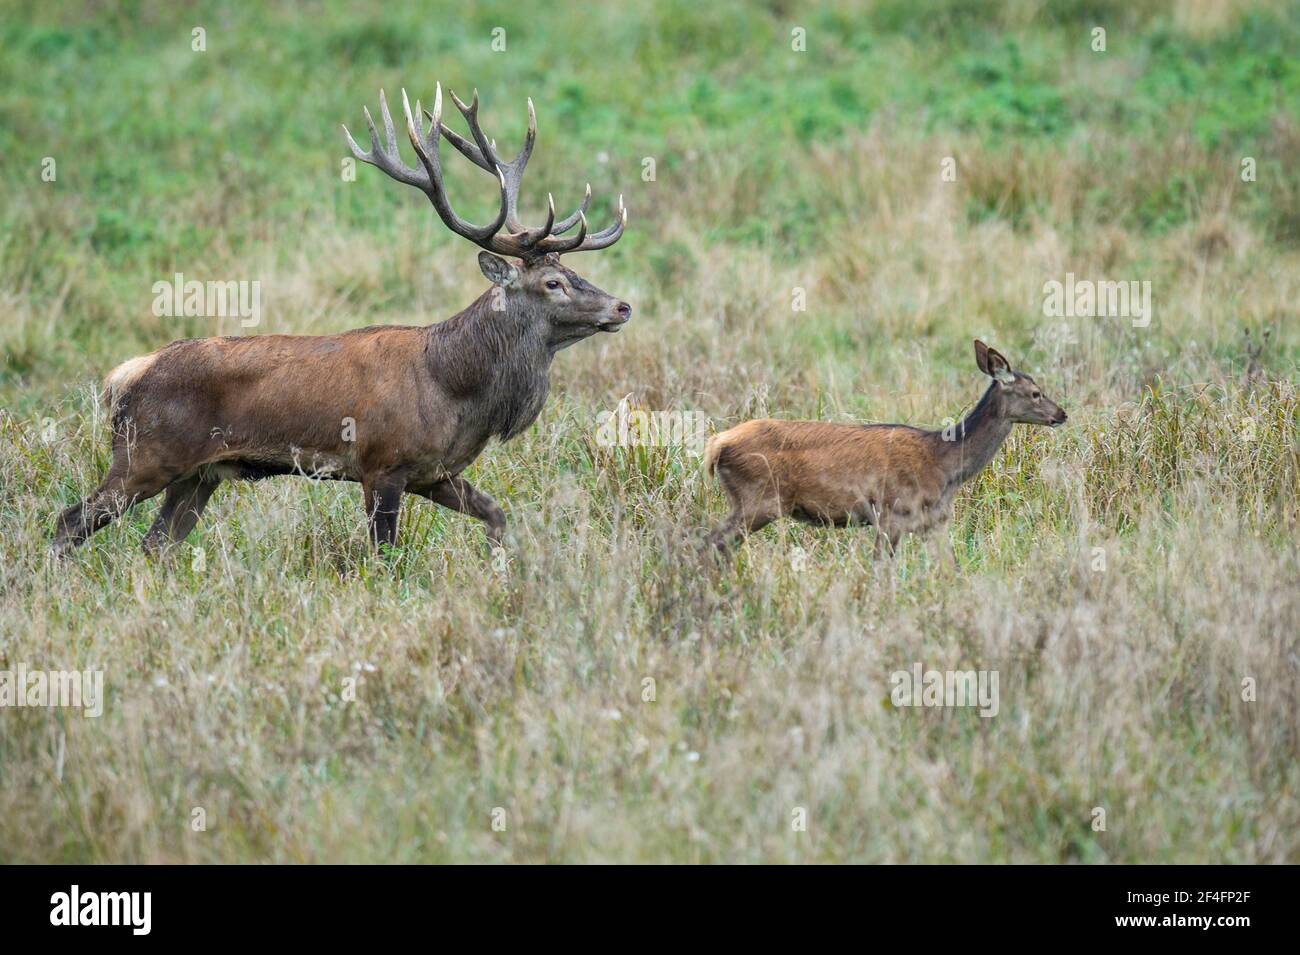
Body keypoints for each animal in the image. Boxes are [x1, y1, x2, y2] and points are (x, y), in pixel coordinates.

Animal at [52, 84, 630, 557]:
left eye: (572, 271)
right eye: (552, 283)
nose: (622, 306)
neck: (455, 388)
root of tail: (123, 375)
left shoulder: (433, 472)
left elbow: (497, 514)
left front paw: (499, 566)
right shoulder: (381, 465)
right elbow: (384, 558)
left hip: (198, 475)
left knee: (156, 545)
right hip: (144, 456)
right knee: (69, 521)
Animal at [703, 341, 1067, 564]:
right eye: (1036, 392)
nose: (1062, 413)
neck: (944, 465)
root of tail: (716, 444)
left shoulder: (933, 521)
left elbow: (951, 567)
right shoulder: (892, 512)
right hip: (758, 499)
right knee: (710, 542)